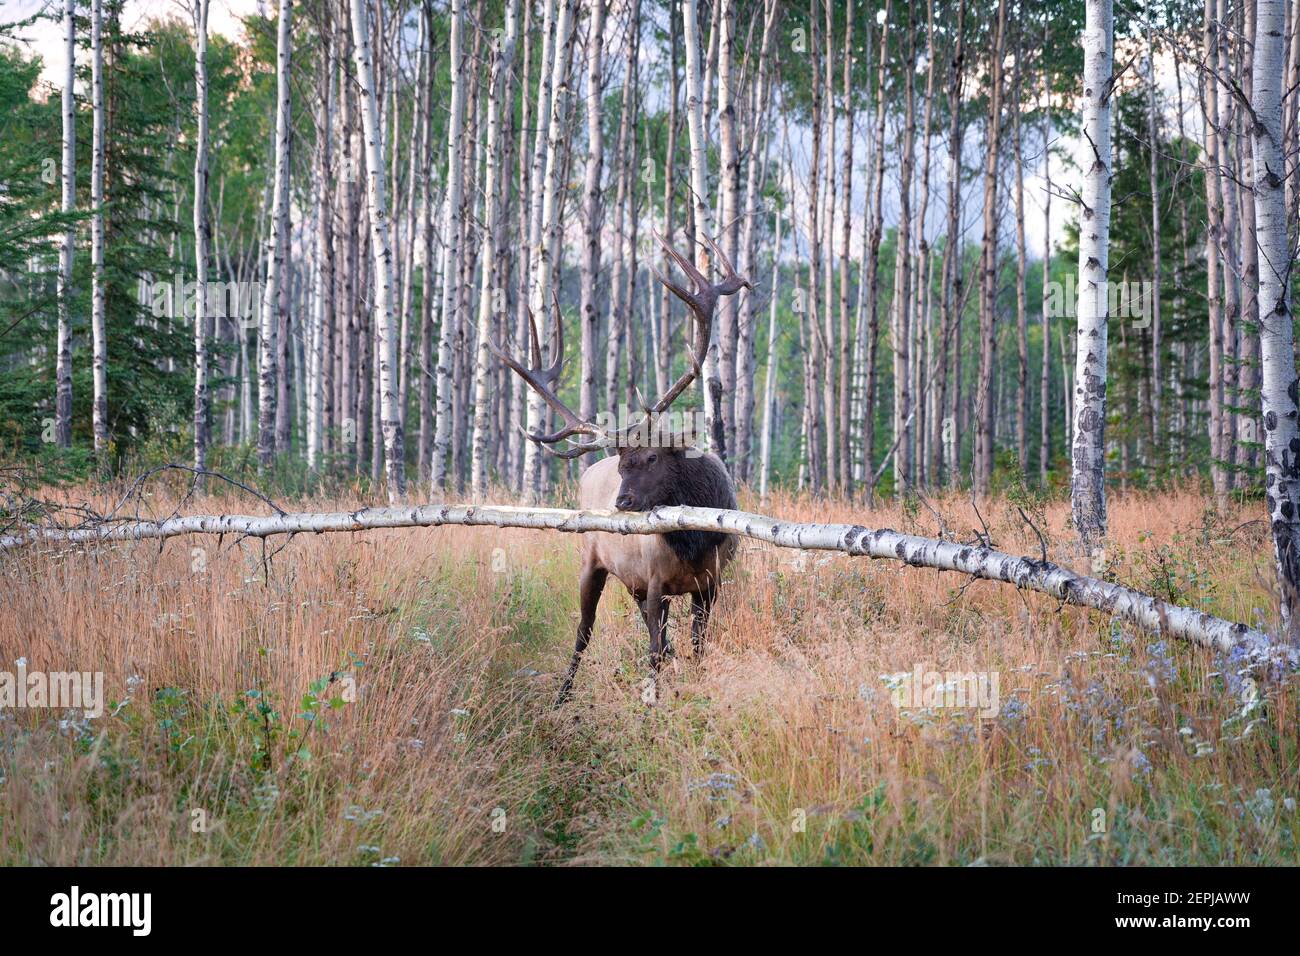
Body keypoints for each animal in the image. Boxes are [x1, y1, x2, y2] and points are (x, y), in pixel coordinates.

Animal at [490, 232, 751, 703]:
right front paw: (653, 698)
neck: (694, 541)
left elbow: (697, 645)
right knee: (584, 630)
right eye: (623, 464)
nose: (622, 501)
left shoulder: (711, 583)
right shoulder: (655, 582)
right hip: (592, 562)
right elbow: (654, 650)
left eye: (651, 458)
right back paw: (562, 694)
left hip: (631, 580)